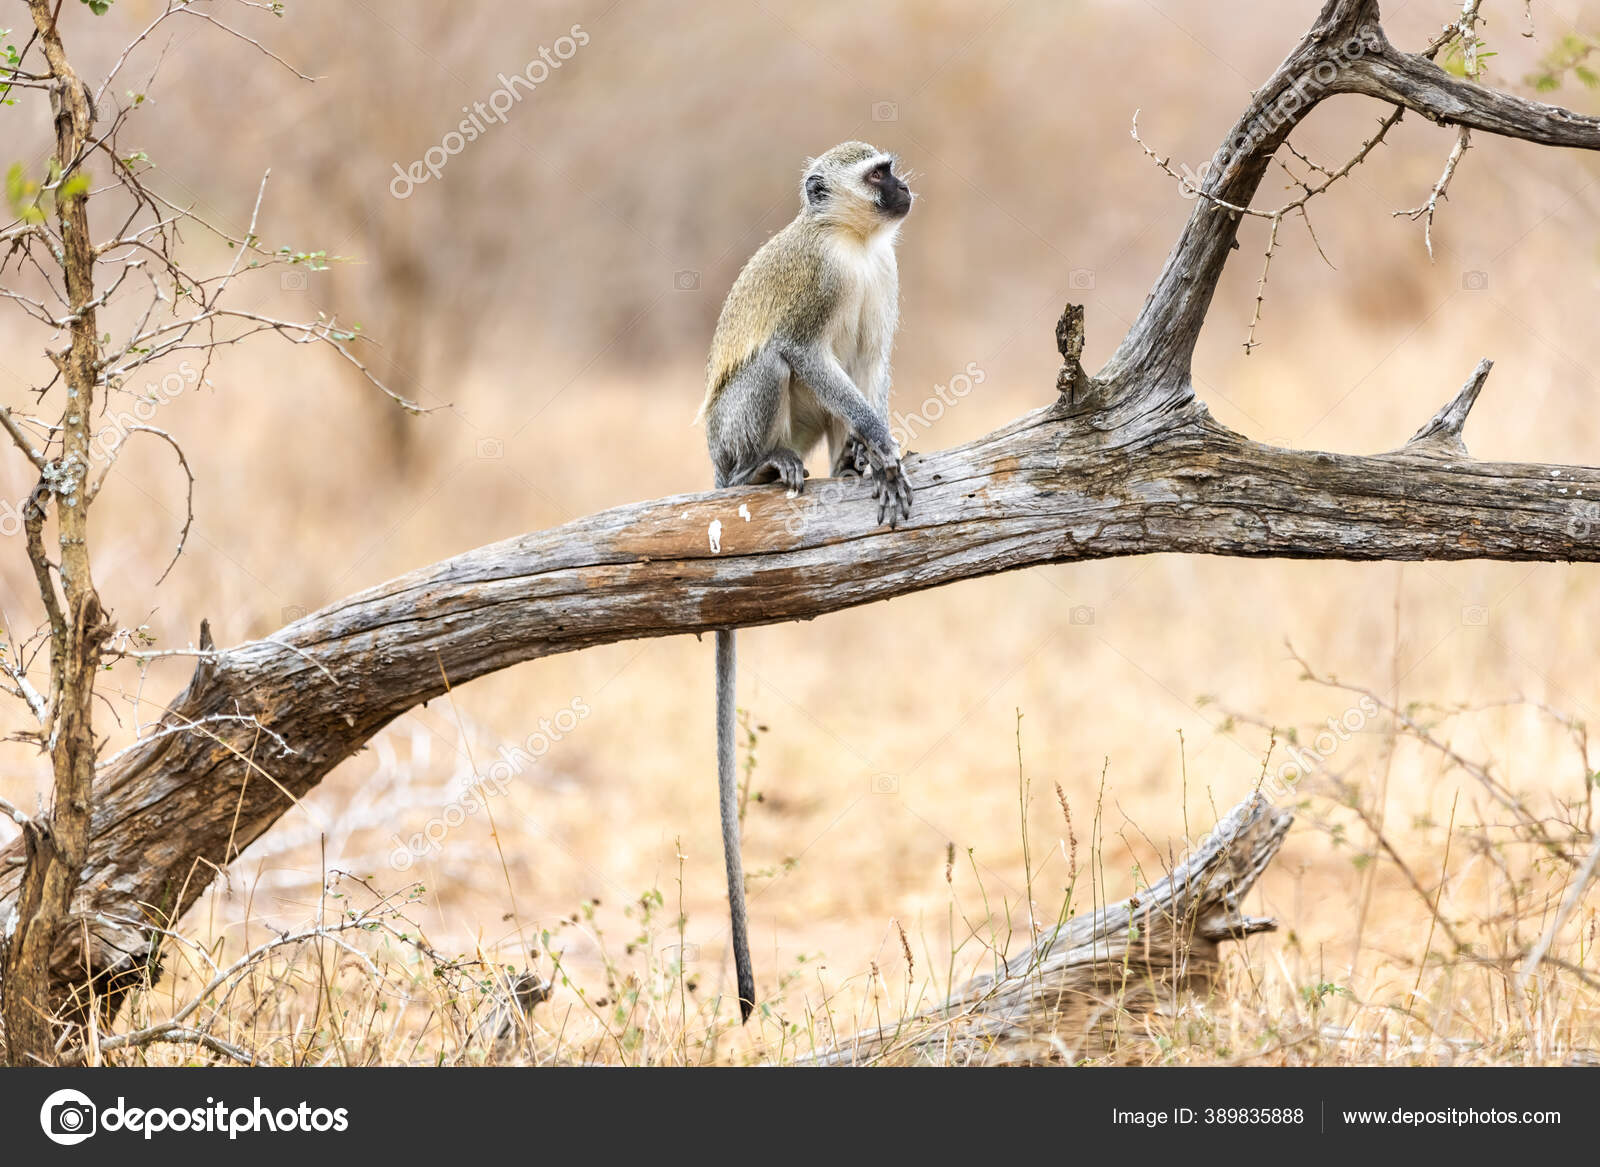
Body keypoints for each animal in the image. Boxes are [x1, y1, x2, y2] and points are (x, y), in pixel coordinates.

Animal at [694, 141, 915, 1022]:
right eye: (879, 172)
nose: (908, 187)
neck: (853, 246)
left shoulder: (884, 276)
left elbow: (871, 361)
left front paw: (876, 453)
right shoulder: (818, 280)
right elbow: (804, 354)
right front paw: (885, 445)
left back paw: (843, 462)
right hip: (732, 431)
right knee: (771, 364)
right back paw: (765, 468)